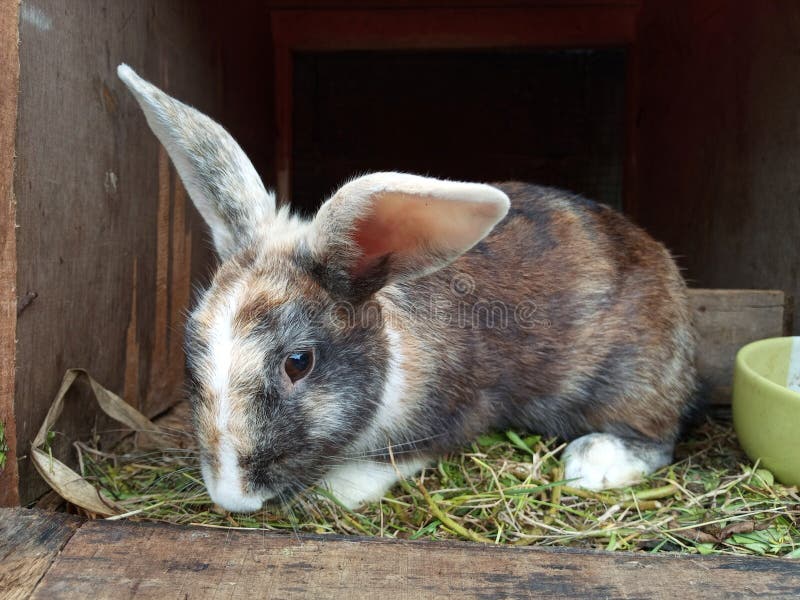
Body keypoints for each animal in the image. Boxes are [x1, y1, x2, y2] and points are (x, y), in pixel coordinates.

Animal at [117, 64, 697, 512]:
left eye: (298, 362)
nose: (231, 498)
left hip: (631, 380)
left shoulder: (455, 410)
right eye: (192, 346)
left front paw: (337, 488)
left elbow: (401, 454)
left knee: (658, 437)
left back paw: (591, 465)